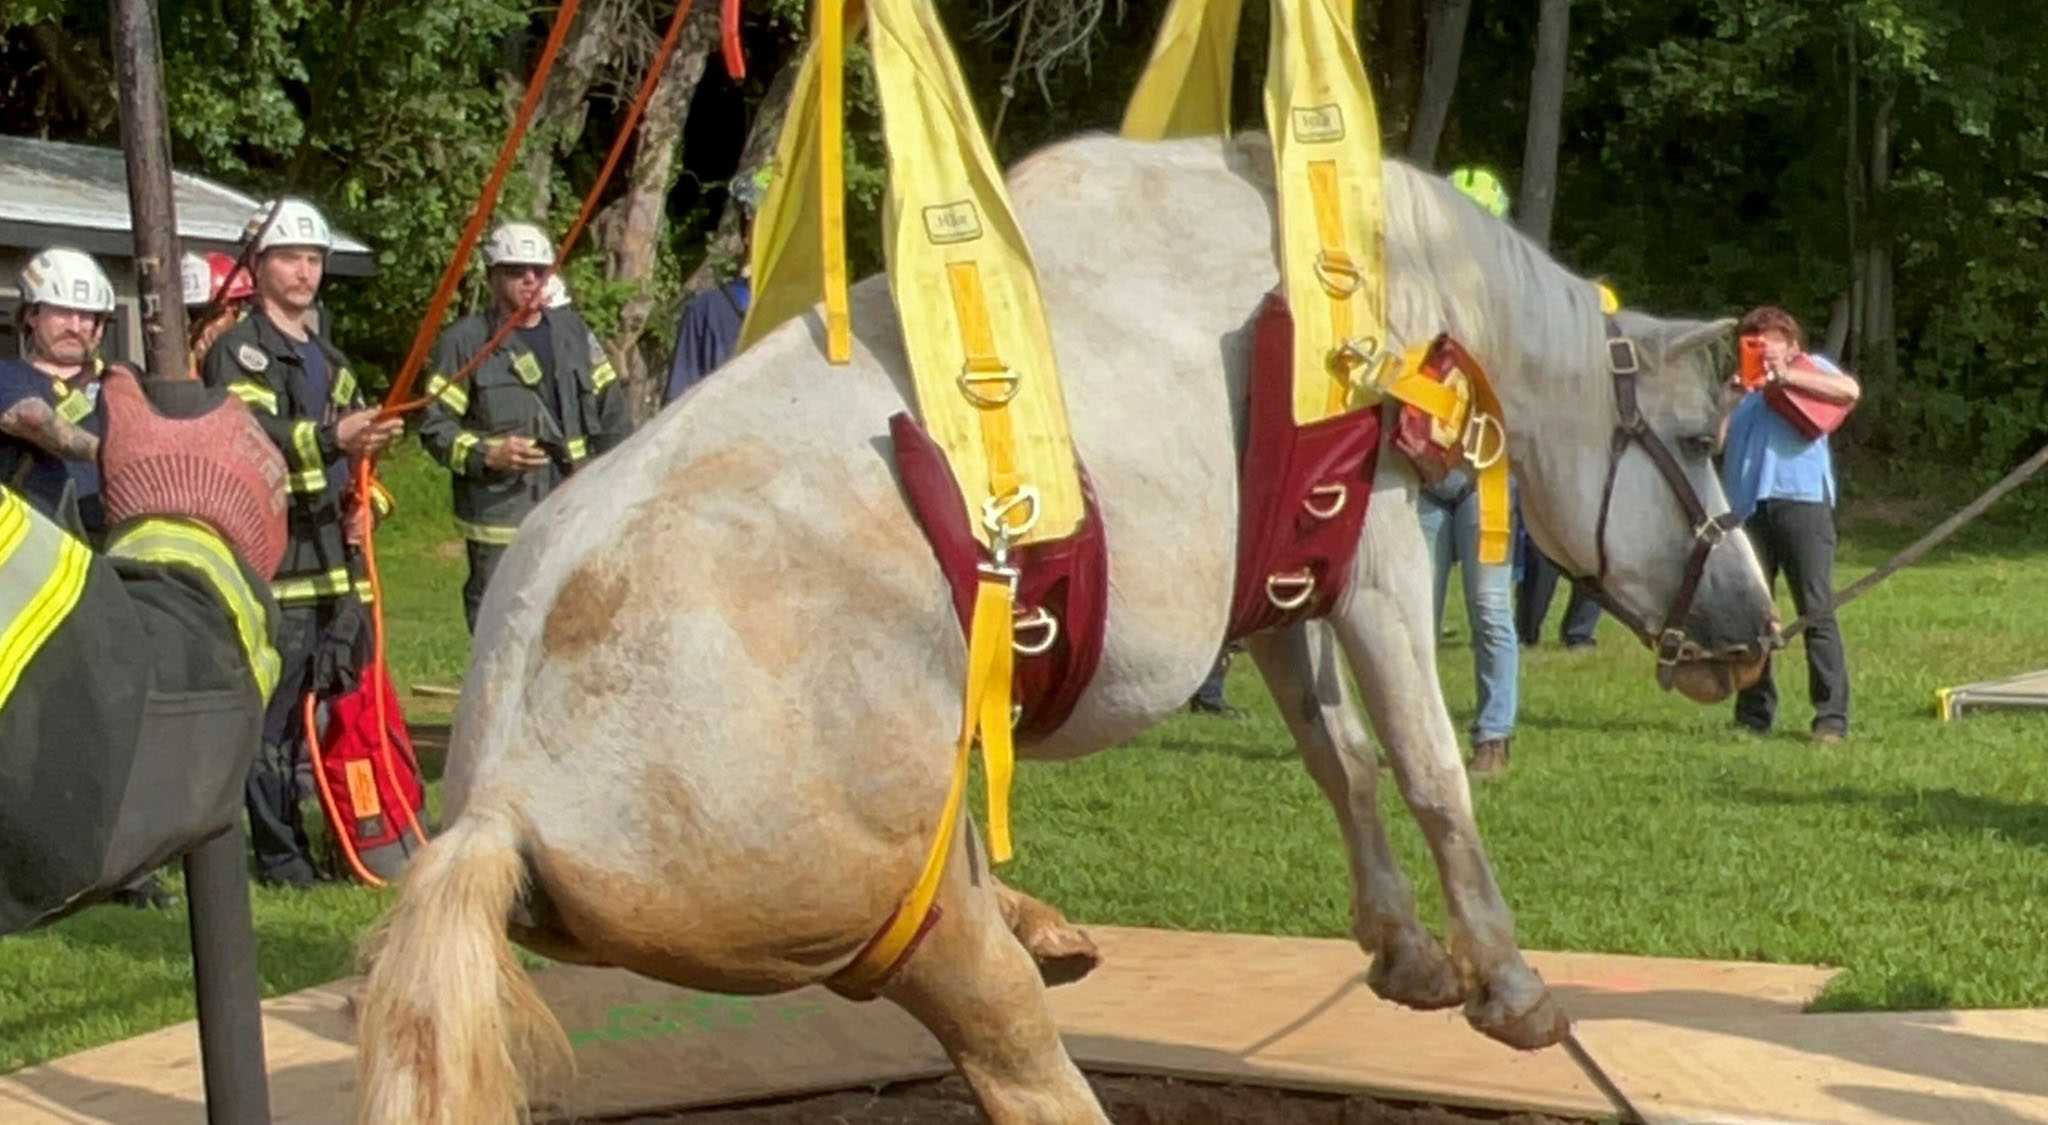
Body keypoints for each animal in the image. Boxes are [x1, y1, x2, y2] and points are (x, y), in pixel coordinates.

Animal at [352, 131, 1775, 1124]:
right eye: (1704, 438)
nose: (1756, 630)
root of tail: (504, 802)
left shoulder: (1280, 584)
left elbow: (1341, 761)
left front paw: (1405, 954)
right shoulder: (1369, 551)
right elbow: (1427, 771)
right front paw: (1510, 989)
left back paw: (1051, 922)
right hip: (927, 945)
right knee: (1024, 1069)